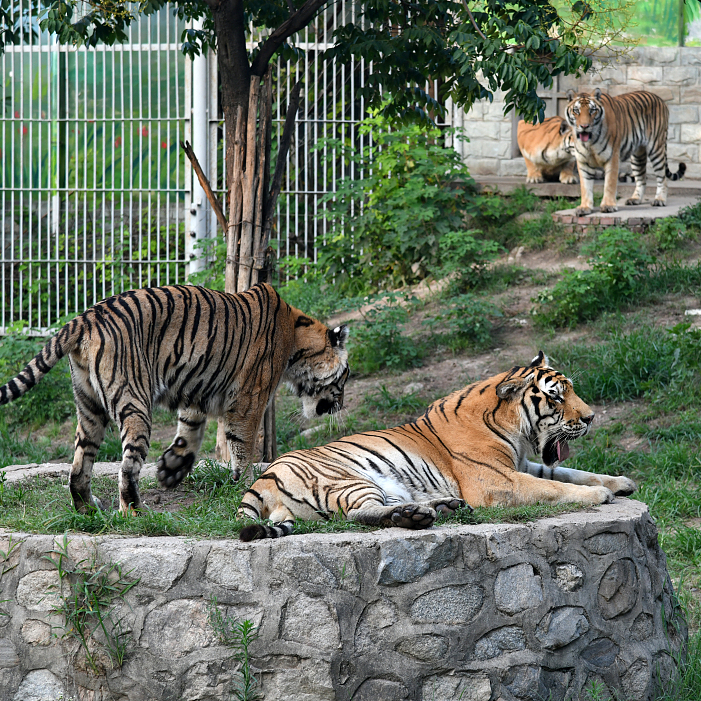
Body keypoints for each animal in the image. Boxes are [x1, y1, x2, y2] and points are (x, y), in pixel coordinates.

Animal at [0, 283, 349, 515]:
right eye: (345, 377)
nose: (341, 405)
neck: (296, 341)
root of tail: (85, 317)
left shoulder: (198, 390)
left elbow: (189, 432)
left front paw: (171, 470)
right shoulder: (248, 399)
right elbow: (242, 444)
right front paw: (244, 482)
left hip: (88, 406)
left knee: (78, 466)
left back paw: (89, 509)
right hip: (133, 401)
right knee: (126, 467)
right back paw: (135, 512)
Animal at [237, 351, 636, 540]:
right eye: (556, 397)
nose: (591, 417)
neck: (515, 430)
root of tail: (262, 478)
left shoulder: (521, 464)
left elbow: (572, 472)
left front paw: (620, 482)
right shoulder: (497, 480)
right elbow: (554, 486)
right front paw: (599, 496)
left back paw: (442, 507)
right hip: (348, 480)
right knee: (358, 515)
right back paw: (417, 517)